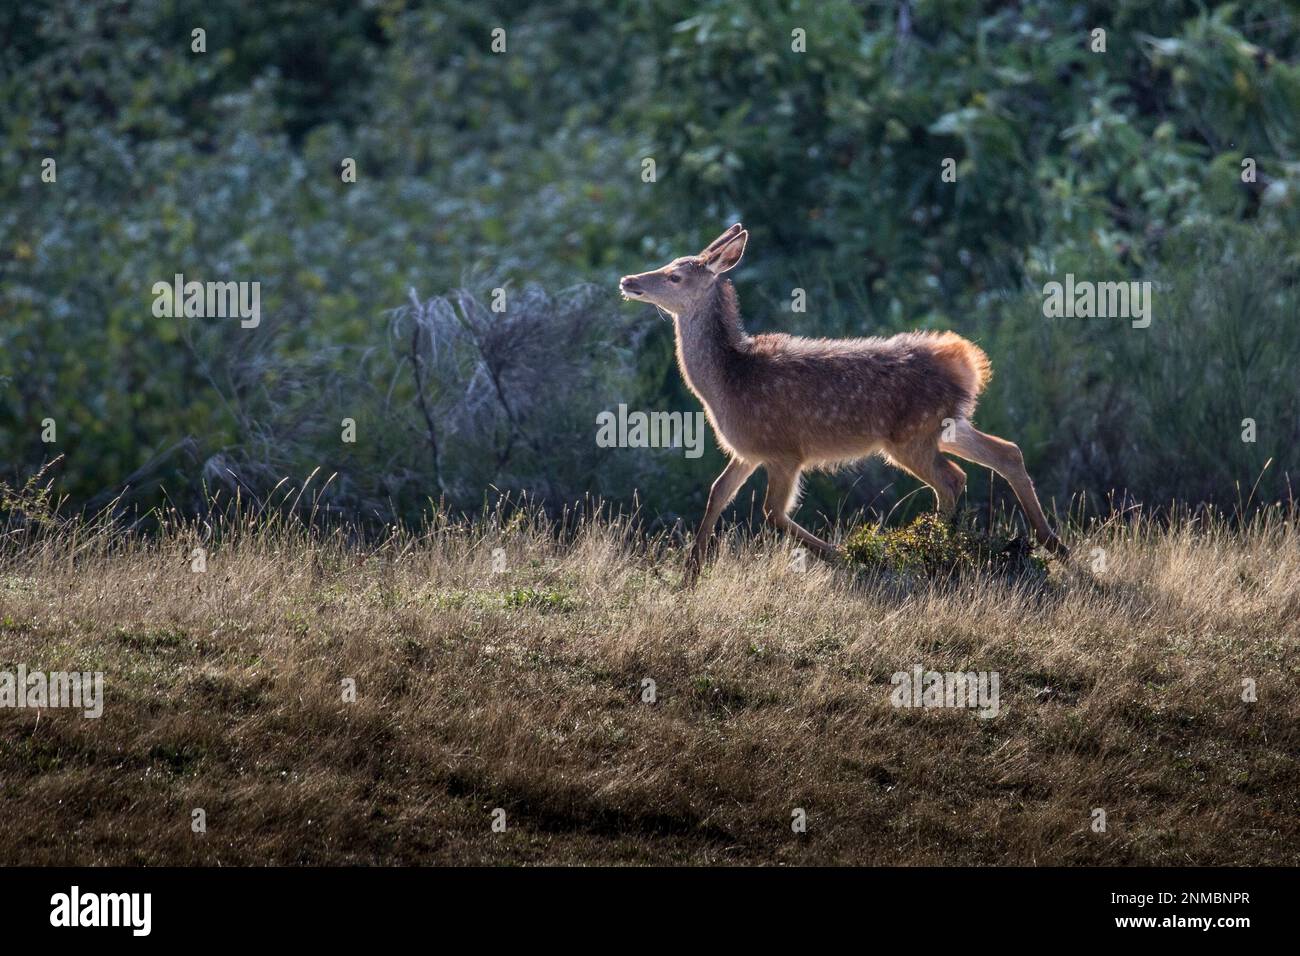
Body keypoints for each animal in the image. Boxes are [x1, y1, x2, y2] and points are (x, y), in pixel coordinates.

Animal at [618, 223, 1068, 583]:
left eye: (674, 276)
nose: (628, 280)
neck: (726, 382)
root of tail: (967, 363)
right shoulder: (747, 450)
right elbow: (717, 494)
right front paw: (690, 574)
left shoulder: (784, 451)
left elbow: (772, 513)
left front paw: (845, 557)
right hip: (947, 425)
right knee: (1007, 452)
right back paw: (1052, 544)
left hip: (909, 437)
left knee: (953, 478)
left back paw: (934, 552)